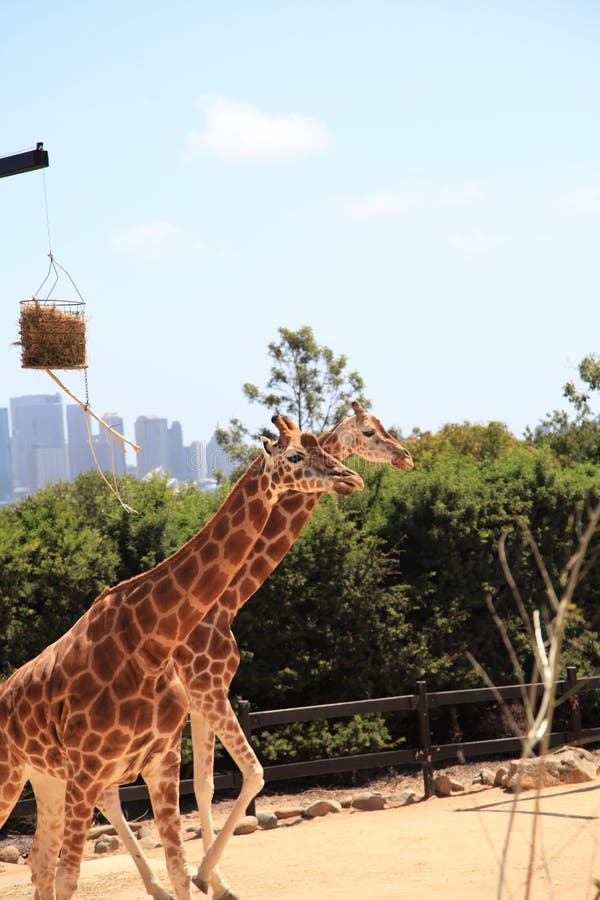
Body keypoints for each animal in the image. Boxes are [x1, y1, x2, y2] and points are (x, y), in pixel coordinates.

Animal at [0, 418, 363, 900]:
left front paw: (204, 878)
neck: (149, 643)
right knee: (55, 858)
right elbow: (70, 878)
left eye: (324, 447)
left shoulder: (162, 759)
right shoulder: (92, 766)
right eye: (295, 456)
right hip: (21, 775)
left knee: (40, 860)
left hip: (46, 779)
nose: (351, 478)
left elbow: (180, 859)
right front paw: (212, 878)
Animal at [106, 401, 413, 899]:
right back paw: (156, 885)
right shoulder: (208, 689)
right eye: (369, 431)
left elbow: (206, 784)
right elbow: (249, 774)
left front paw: (215, 879)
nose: (405, 456)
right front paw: (204, 875)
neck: (227, 603)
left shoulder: (204, 697)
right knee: (102, 790)